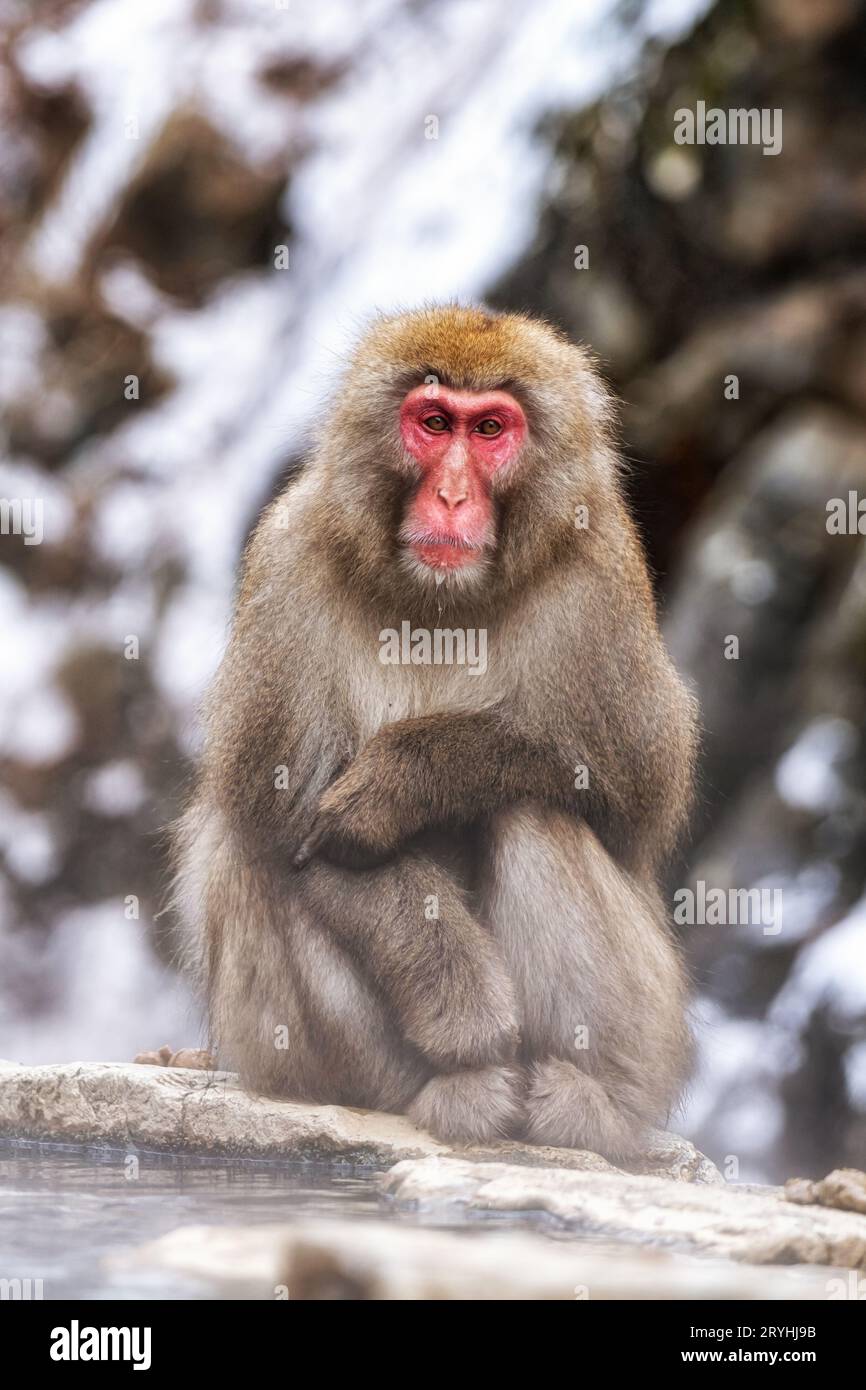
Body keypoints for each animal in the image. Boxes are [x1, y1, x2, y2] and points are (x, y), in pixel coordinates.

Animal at [172, 304, 698, 1158]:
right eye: (432, 423)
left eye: (488, 429)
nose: (451, 496)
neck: (444, 602)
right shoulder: (287, 558)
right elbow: (283, 820)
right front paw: (468, 1015)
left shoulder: (602, 569)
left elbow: (635, 791)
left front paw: (404, 779)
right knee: (245, 858)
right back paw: (462, 1085)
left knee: (533, 806)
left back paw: (592, 1105)